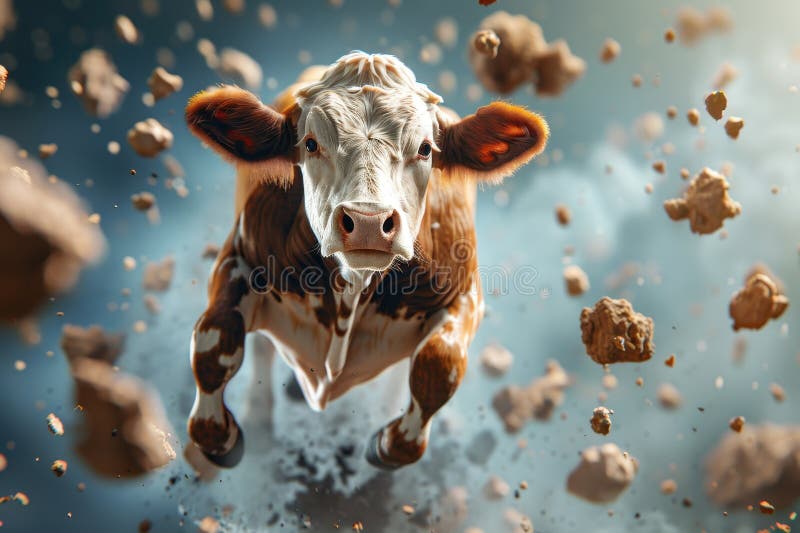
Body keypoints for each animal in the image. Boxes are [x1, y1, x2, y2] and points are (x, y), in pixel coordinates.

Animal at [185, 52, 548, 470]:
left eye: (426, 148)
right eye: (310, 144)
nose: (369, 222)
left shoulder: (465, 296)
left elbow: (438, 364)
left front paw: (387, 444)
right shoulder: (238, 258)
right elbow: (214, 340)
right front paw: (223, 437)